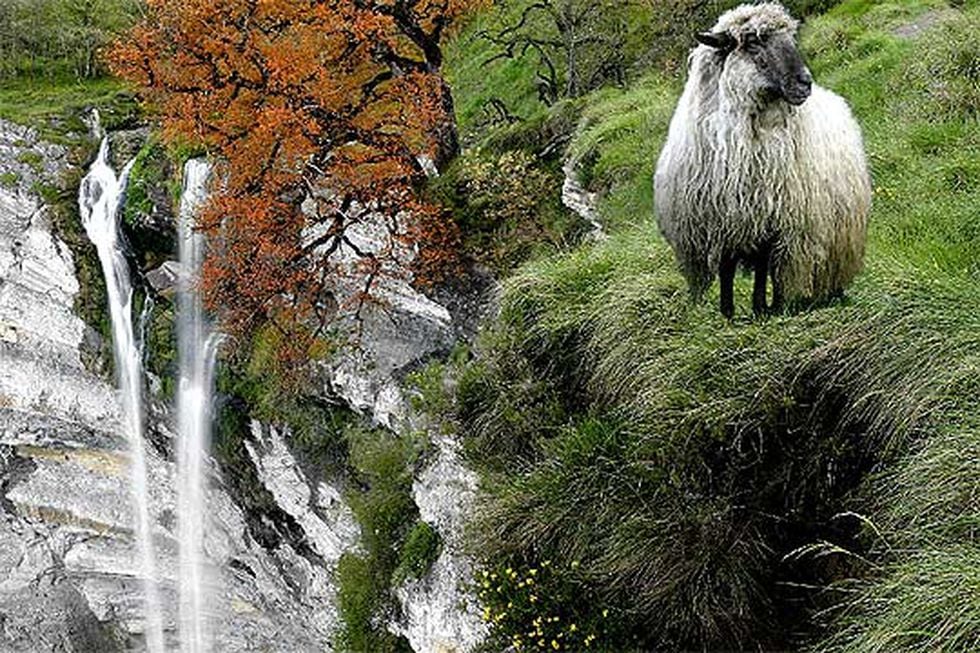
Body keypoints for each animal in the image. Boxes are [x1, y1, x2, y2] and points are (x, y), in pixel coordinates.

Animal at [654, 2, 871, 318]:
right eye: (753, 42)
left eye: (791, 39)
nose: (805, 82)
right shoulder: (722, 220)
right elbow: (727, 267)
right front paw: (728, 312)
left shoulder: (775, 218)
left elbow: (764, 265)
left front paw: (762, 308)